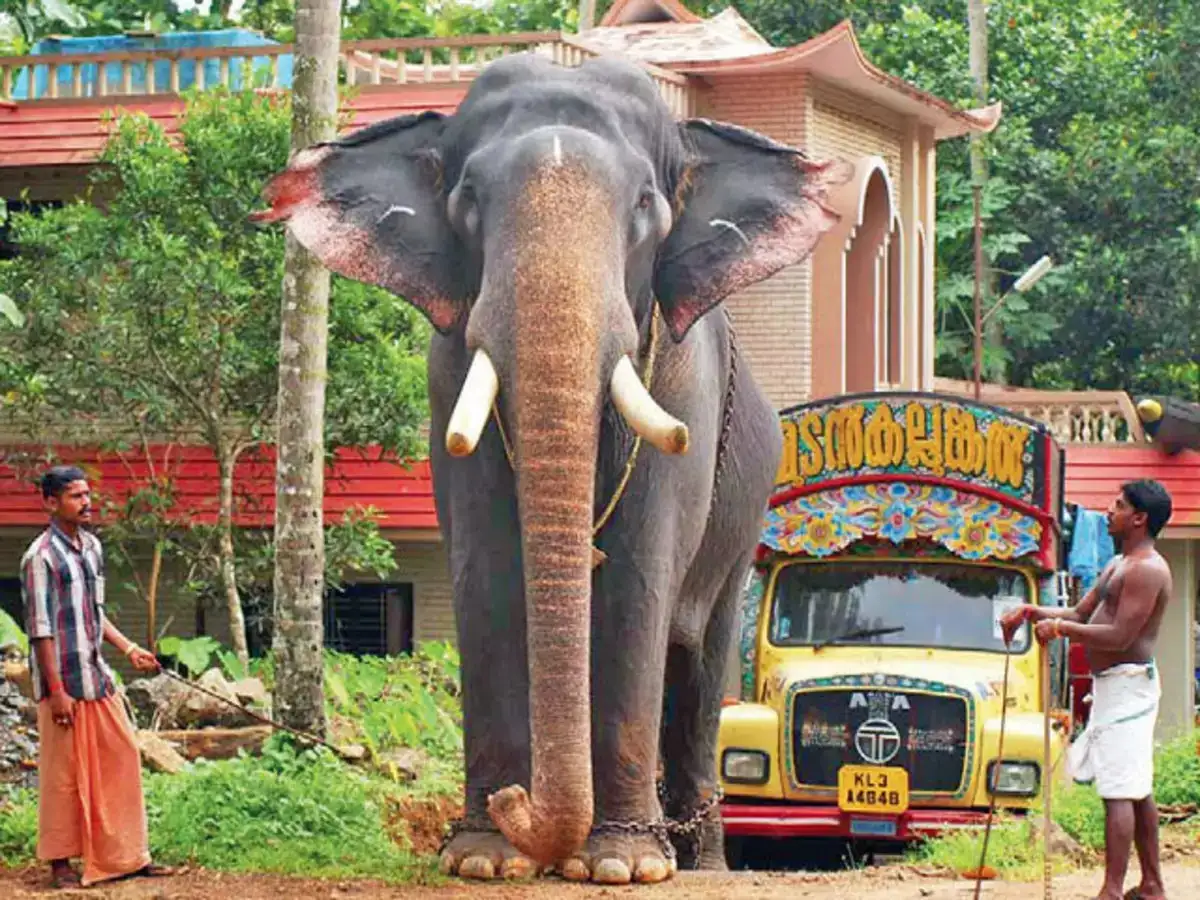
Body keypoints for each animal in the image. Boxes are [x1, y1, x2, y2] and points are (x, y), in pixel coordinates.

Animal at [254, 52, 848, 884]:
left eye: (646, 206)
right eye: (468, 200)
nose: (517, 803)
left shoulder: (683, 394)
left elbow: (636, 582)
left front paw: (623, 865)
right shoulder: (448, 380)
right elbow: (487, 572)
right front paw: (484, 856)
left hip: (749, 511)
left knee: (699, 665)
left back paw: (698, 862)